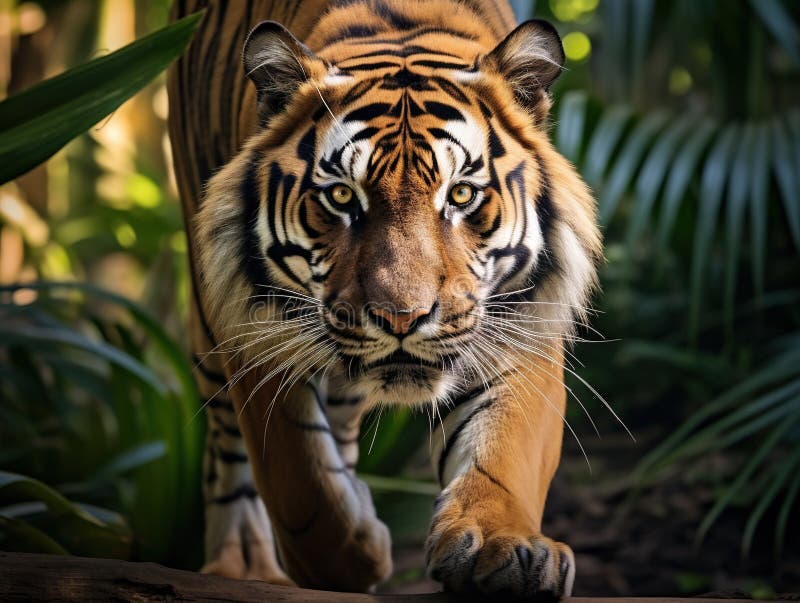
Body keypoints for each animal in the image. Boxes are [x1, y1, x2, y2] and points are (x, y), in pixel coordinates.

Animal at [167, 0, 601, 598]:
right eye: (341, 196)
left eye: (461, 194)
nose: (402, 317)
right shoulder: (253, 323)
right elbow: (299, 479)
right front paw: (350, 561)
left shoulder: (521, 322)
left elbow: (504, 450)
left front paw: (502, 547)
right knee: (228, 448)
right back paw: (244, 564)